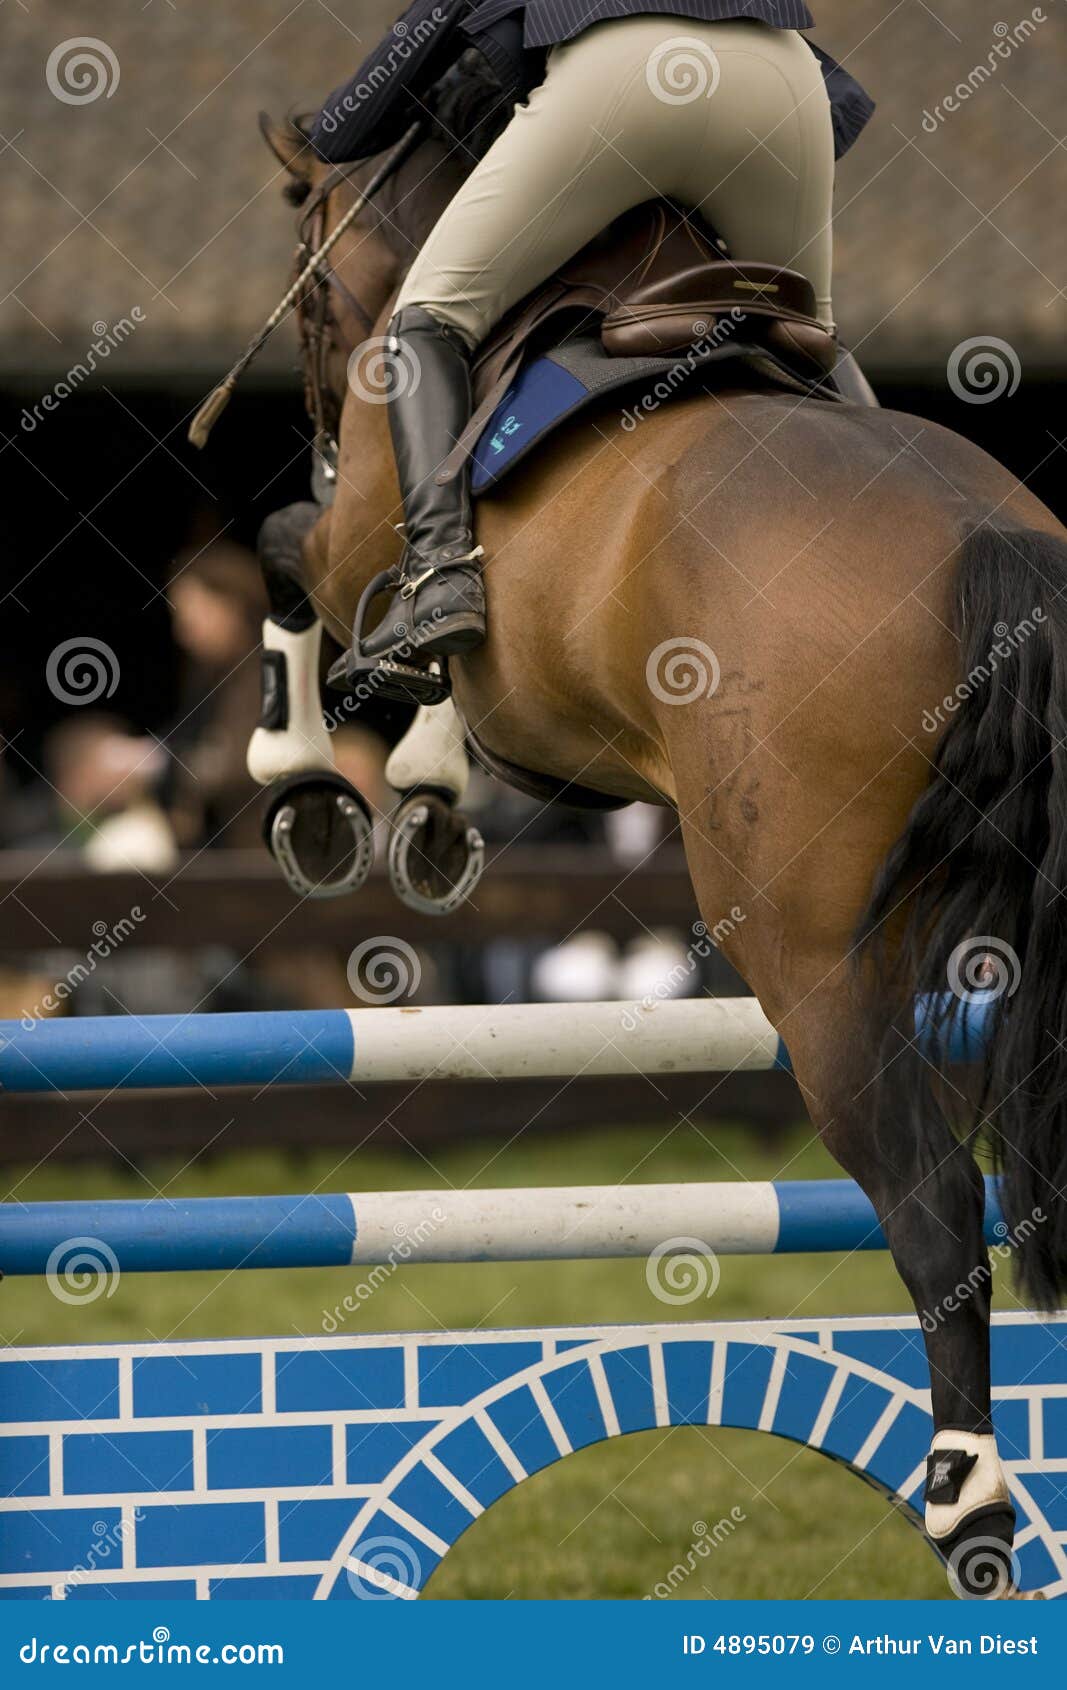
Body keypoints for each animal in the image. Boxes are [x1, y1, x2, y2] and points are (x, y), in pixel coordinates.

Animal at [246, 78, 1067, 1596]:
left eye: (316, 298)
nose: (327, 421)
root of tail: (998, 549)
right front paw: (423, 807)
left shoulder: (359, 545)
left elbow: (285, 553)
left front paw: (324, 797)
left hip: (814, 968)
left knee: (932, 1209)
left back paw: (968, 1505)